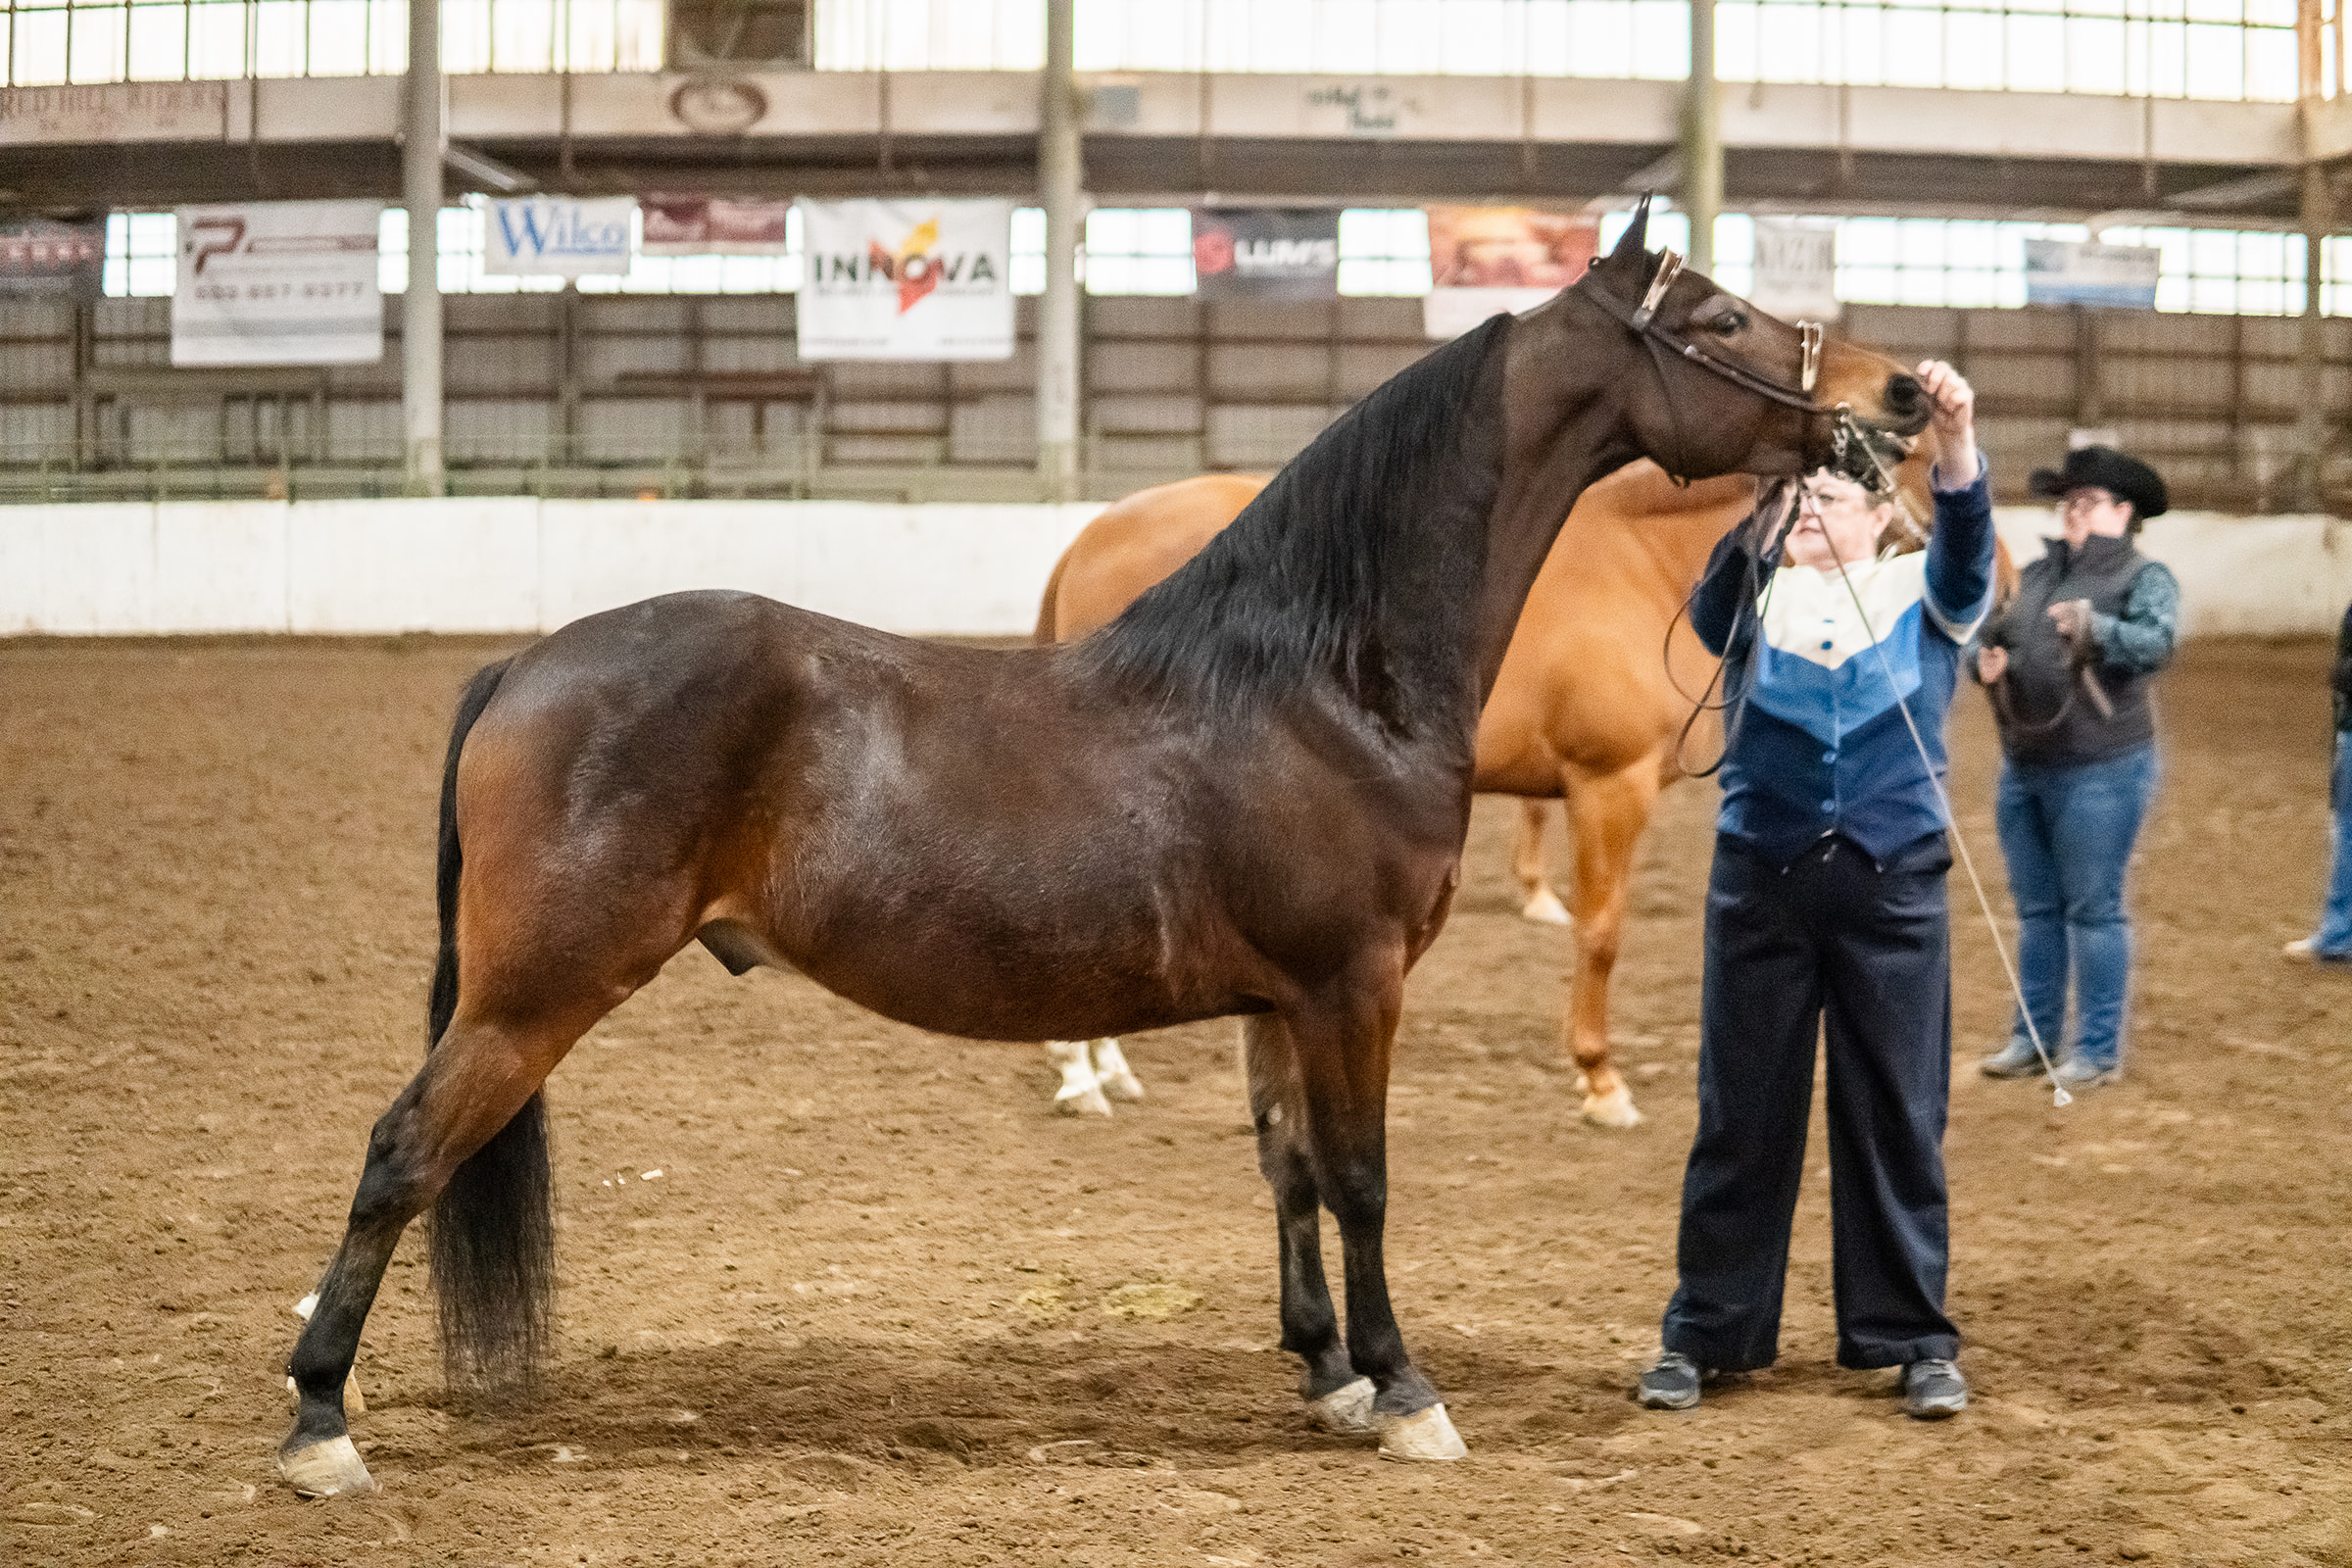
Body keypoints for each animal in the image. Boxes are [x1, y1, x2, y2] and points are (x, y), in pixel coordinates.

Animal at [1034, 448, 1948, 1127]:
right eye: (1901, 464)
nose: (1934, 566)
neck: (1640, 561)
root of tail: (1094, 534)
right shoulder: (1610, 785)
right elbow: (1601, 931)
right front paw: (1600, 1081)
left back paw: (1103, 1067)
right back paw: (1081, 1076)